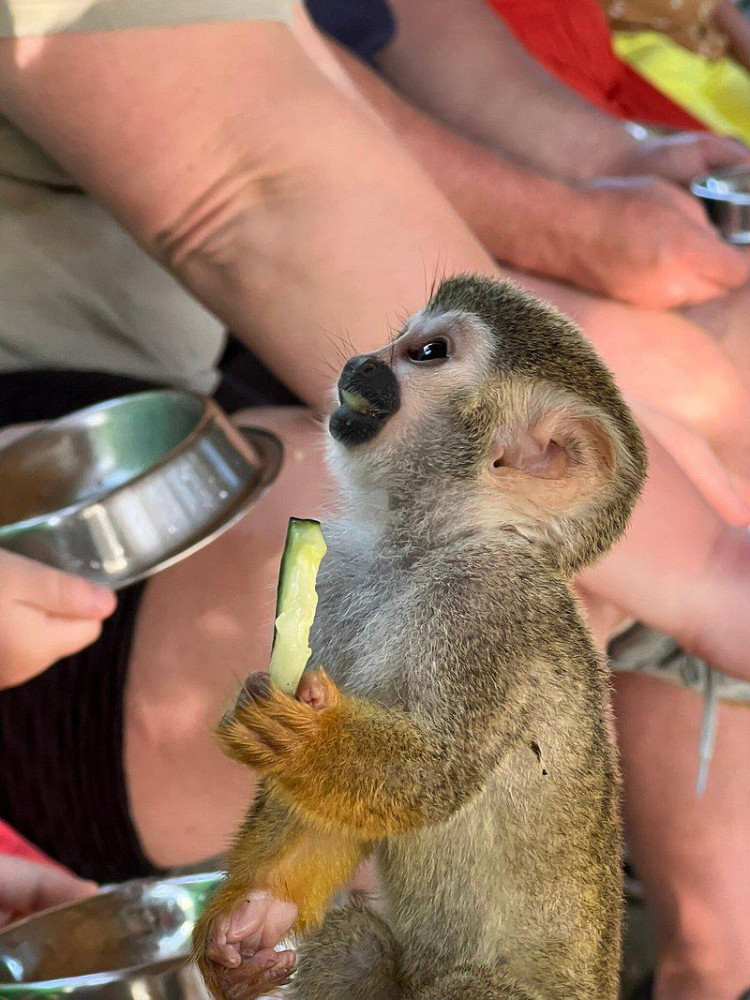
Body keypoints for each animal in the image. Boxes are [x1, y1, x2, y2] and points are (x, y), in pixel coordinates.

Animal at [192, 274, 647, 1000]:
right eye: (400, 336)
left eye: (427, 352)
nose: (362, 362)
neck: (427, 546)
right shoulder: (343, 577)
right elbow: (330, 817)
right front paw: (248, 921)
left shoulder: (492, 607)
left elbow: (432, 779)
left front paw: (298, 737)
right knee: (353, 943)